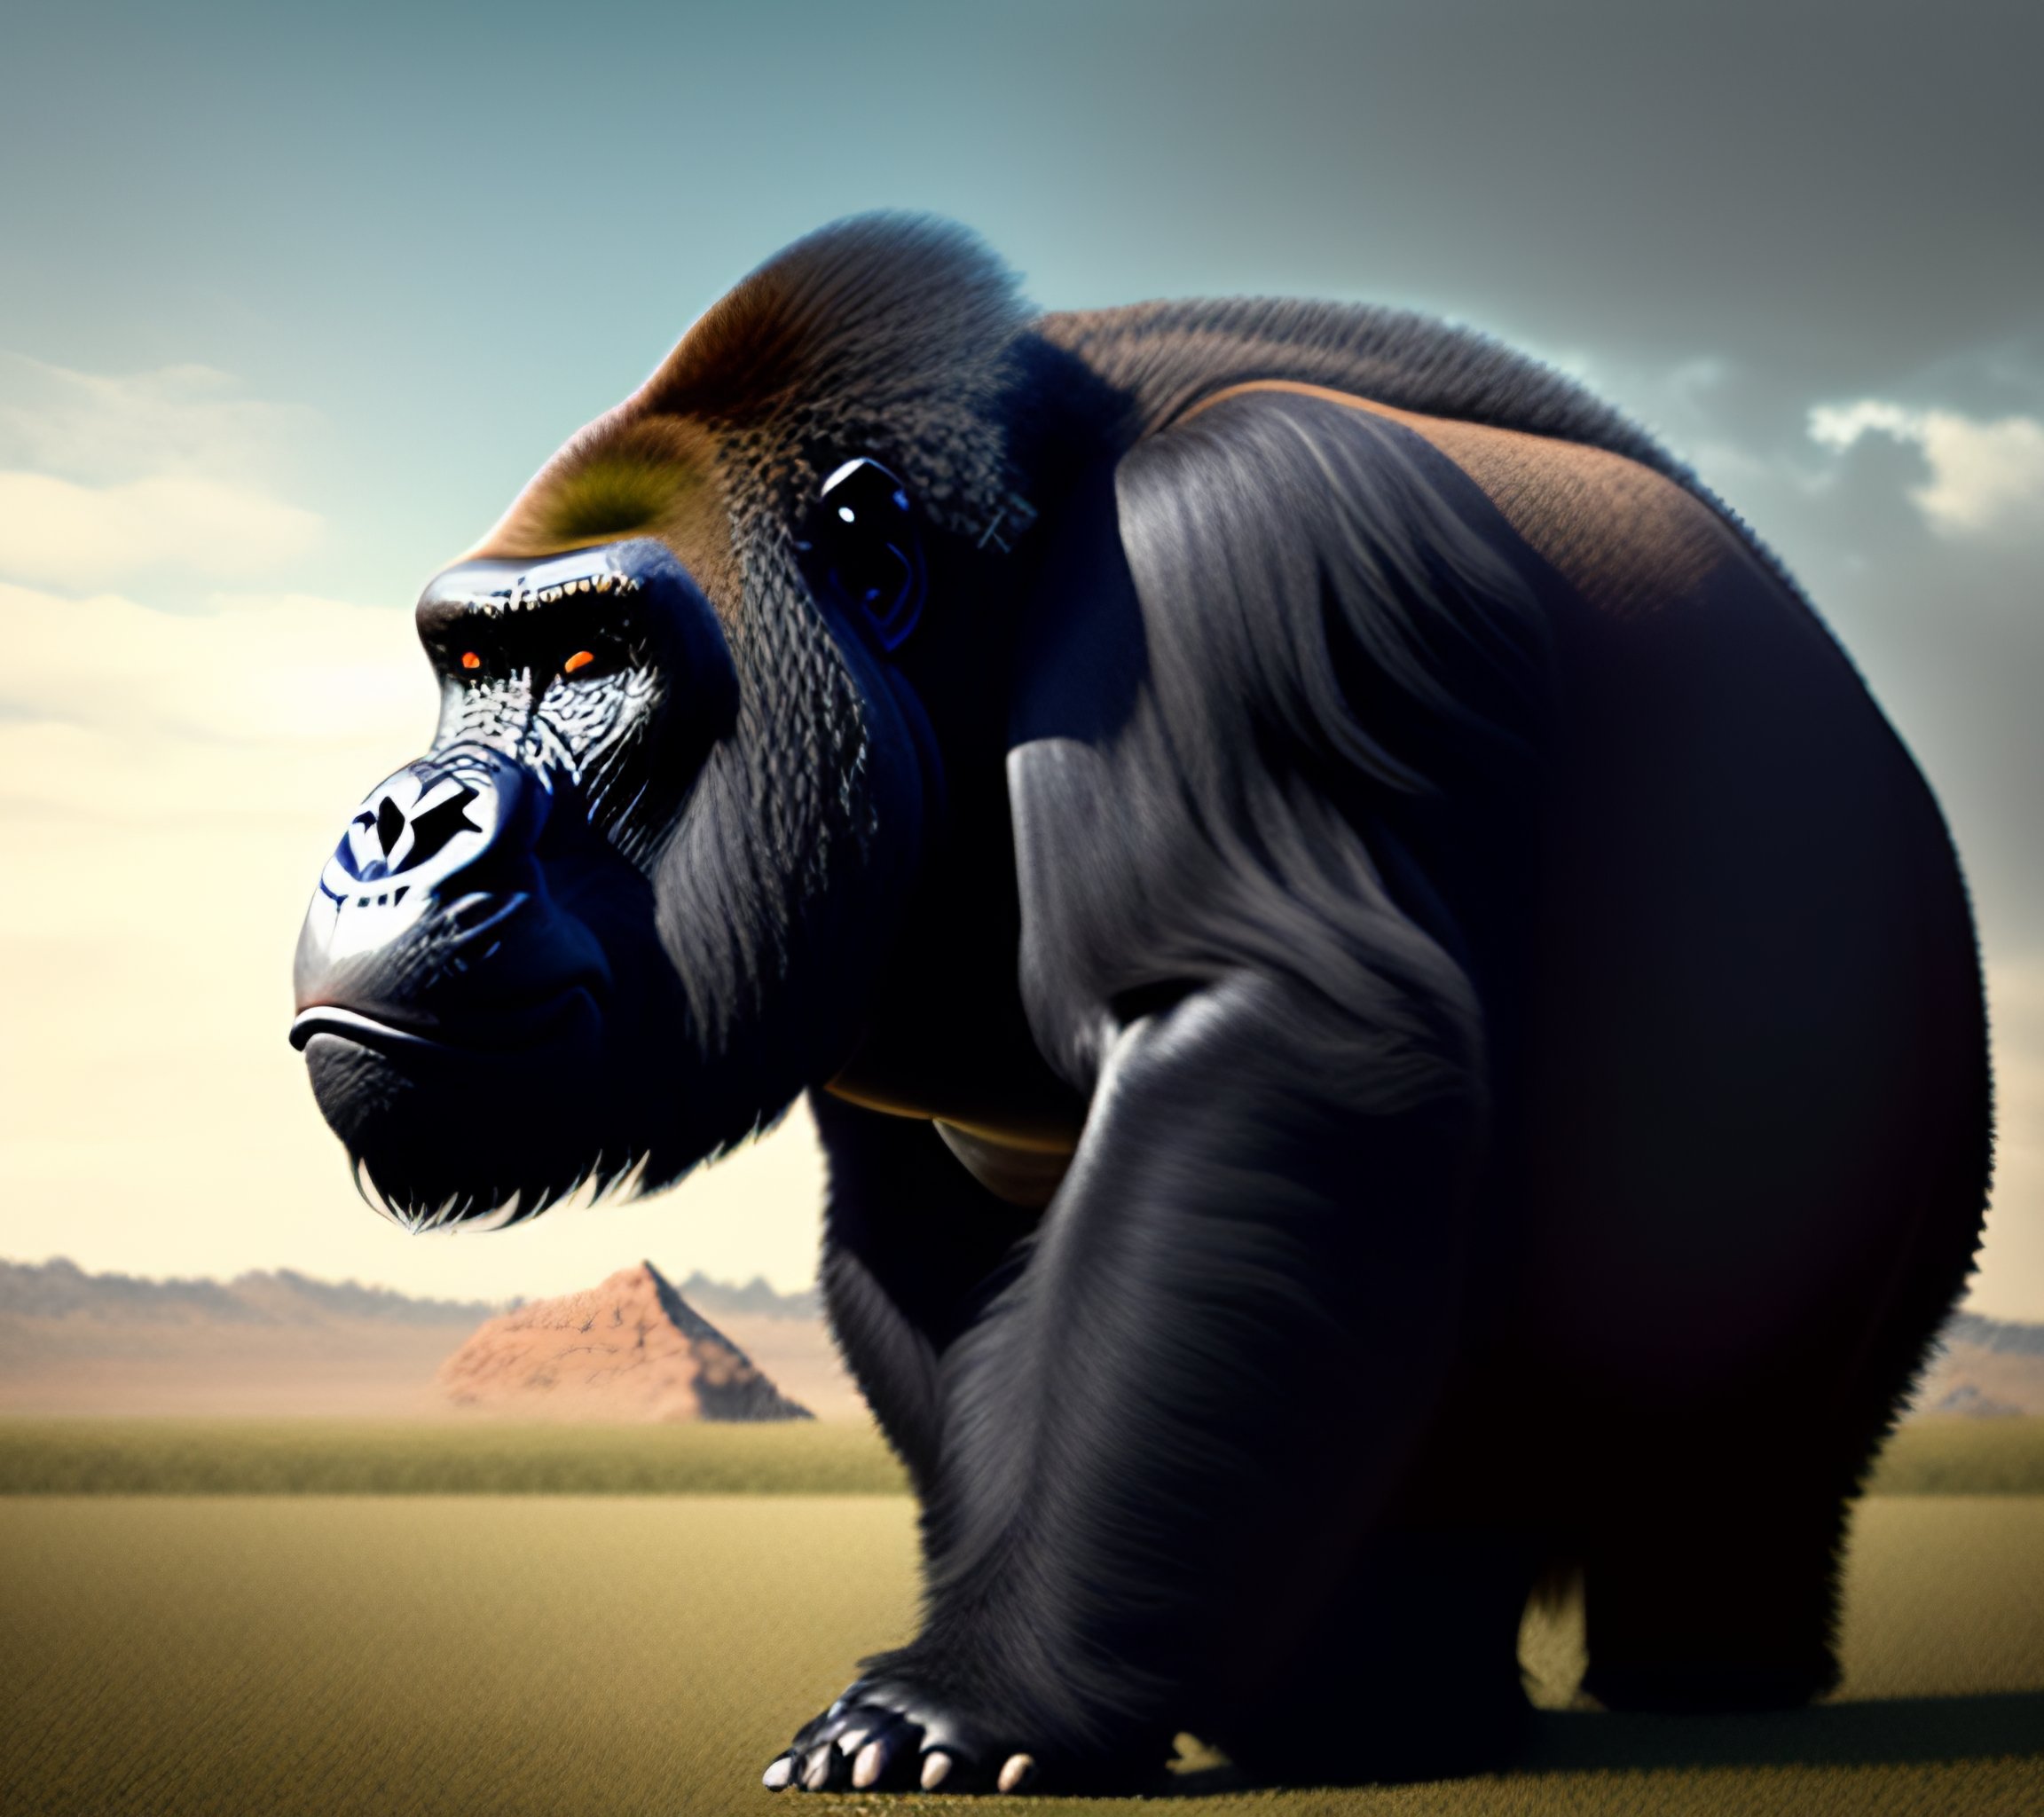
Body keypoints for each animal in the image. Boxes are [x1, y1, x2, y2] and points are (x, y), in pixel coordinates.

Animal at [290, 215, 1991, 1793]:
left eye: (592, 653)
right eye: (467, 661)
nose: (402, 823)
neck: (977, 604)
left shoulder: (1237, 539)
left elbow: (1260, 1047)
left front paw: (977, 1696)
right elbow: (925, 1243)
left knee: (1741, 1469)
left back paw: (1687, 1664)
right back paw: (1392, 1699)